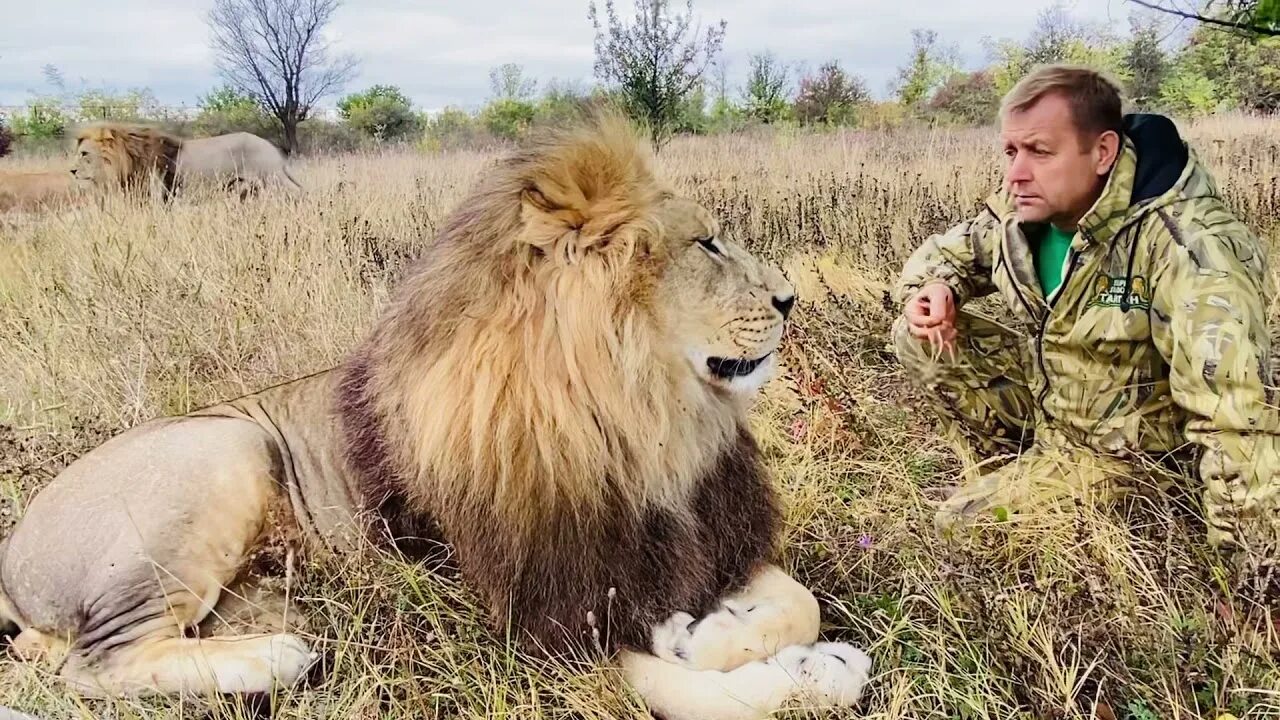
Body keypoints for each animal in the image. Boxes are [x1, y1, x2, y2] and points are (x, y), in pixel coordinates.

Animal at [0, 114, 871, 719]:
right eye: (707, 244)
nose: (792, 299)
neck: (641, 421)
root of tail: (11, 560)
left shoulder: (688, 540)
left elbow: (799, 600)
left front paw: (741, 641)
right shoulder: (536, 619)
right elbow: (691, 692)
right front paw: (792, 672)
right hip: (226, 448)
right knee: (91, 664)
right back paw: (277, 658)